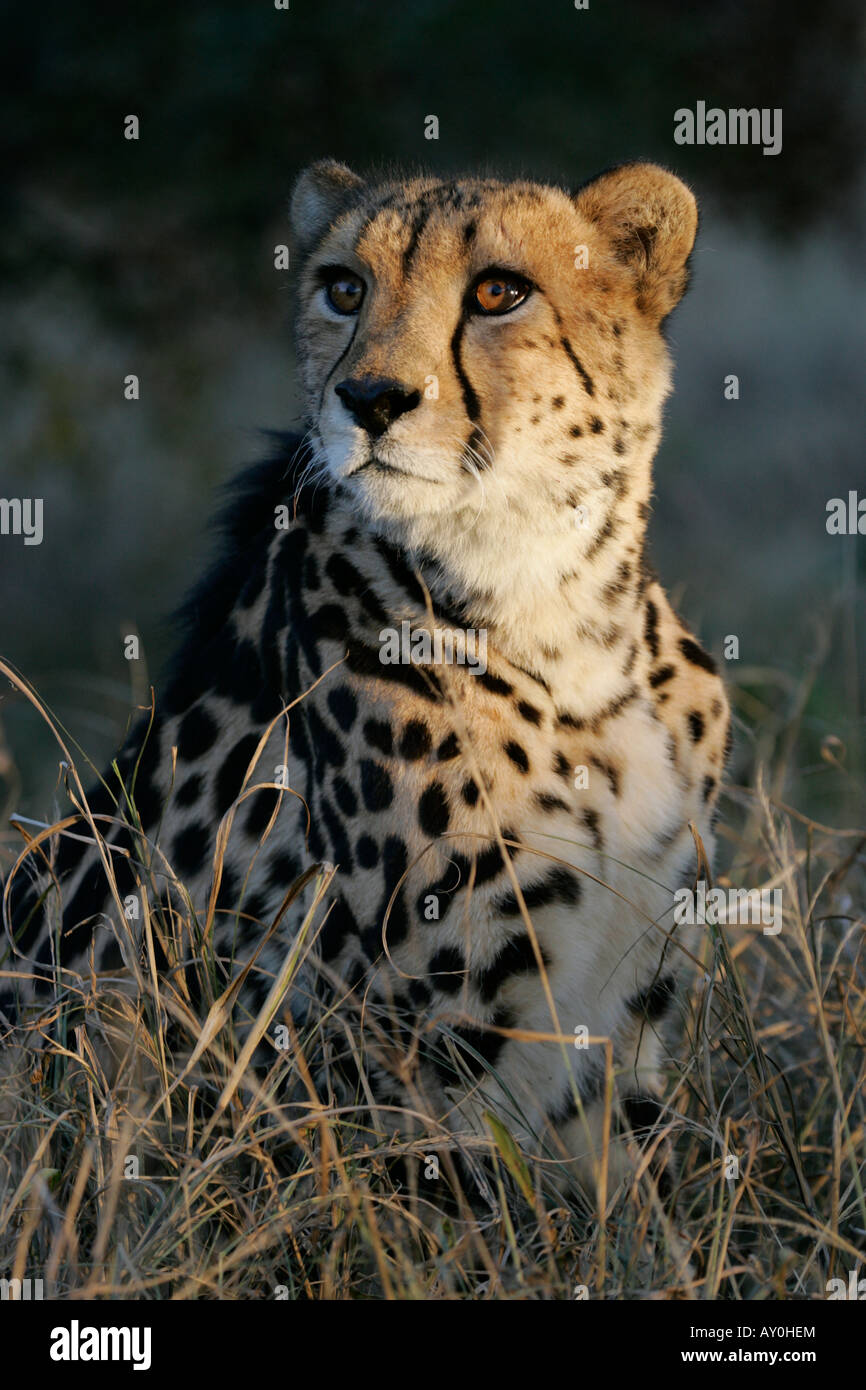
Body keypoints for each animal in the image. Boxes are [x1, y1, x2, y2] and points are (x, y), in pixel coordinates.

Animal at [2, 159, 730, 1211]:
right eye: (344, 289)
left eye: (499, 292)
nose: (372, 397)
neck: (560, 616)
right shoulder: (406, 1061)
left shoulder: (617, 1041)